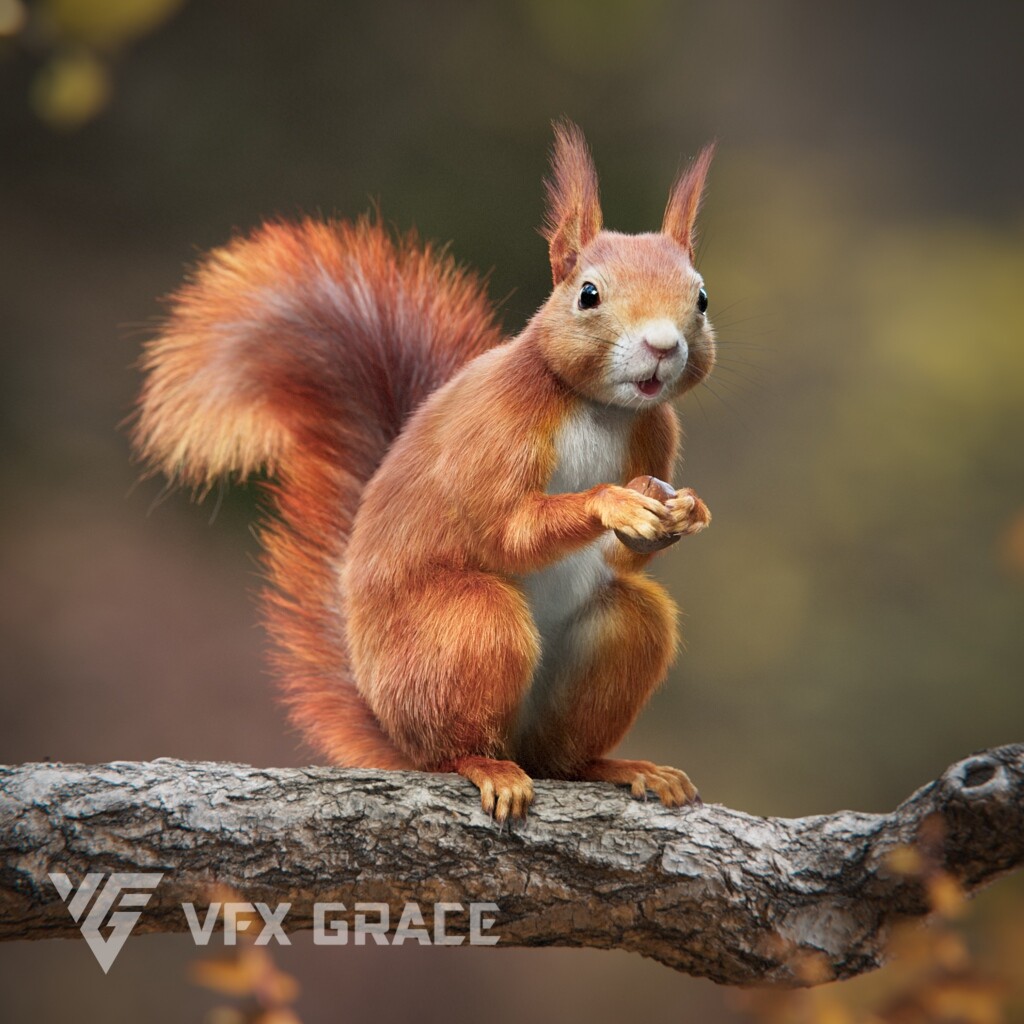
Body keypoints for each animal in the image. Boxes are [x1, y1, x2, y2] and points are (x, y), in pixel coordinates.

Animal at [133, 120, 715, 823]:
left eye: (702, 299)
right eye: (588, 295)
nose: (662, 345)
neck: (599, 408)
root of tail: (391, 724)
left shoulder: (655, 434)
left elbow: (626, 555)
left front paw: (685, 511)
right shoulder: (496, 429)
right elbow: (505, 528)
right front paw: (613, 502)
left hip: (611, 647)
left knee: (574, 736)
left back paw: (618, 768)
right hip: (462, 636)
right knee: (458, 733)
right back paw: (485, 765)